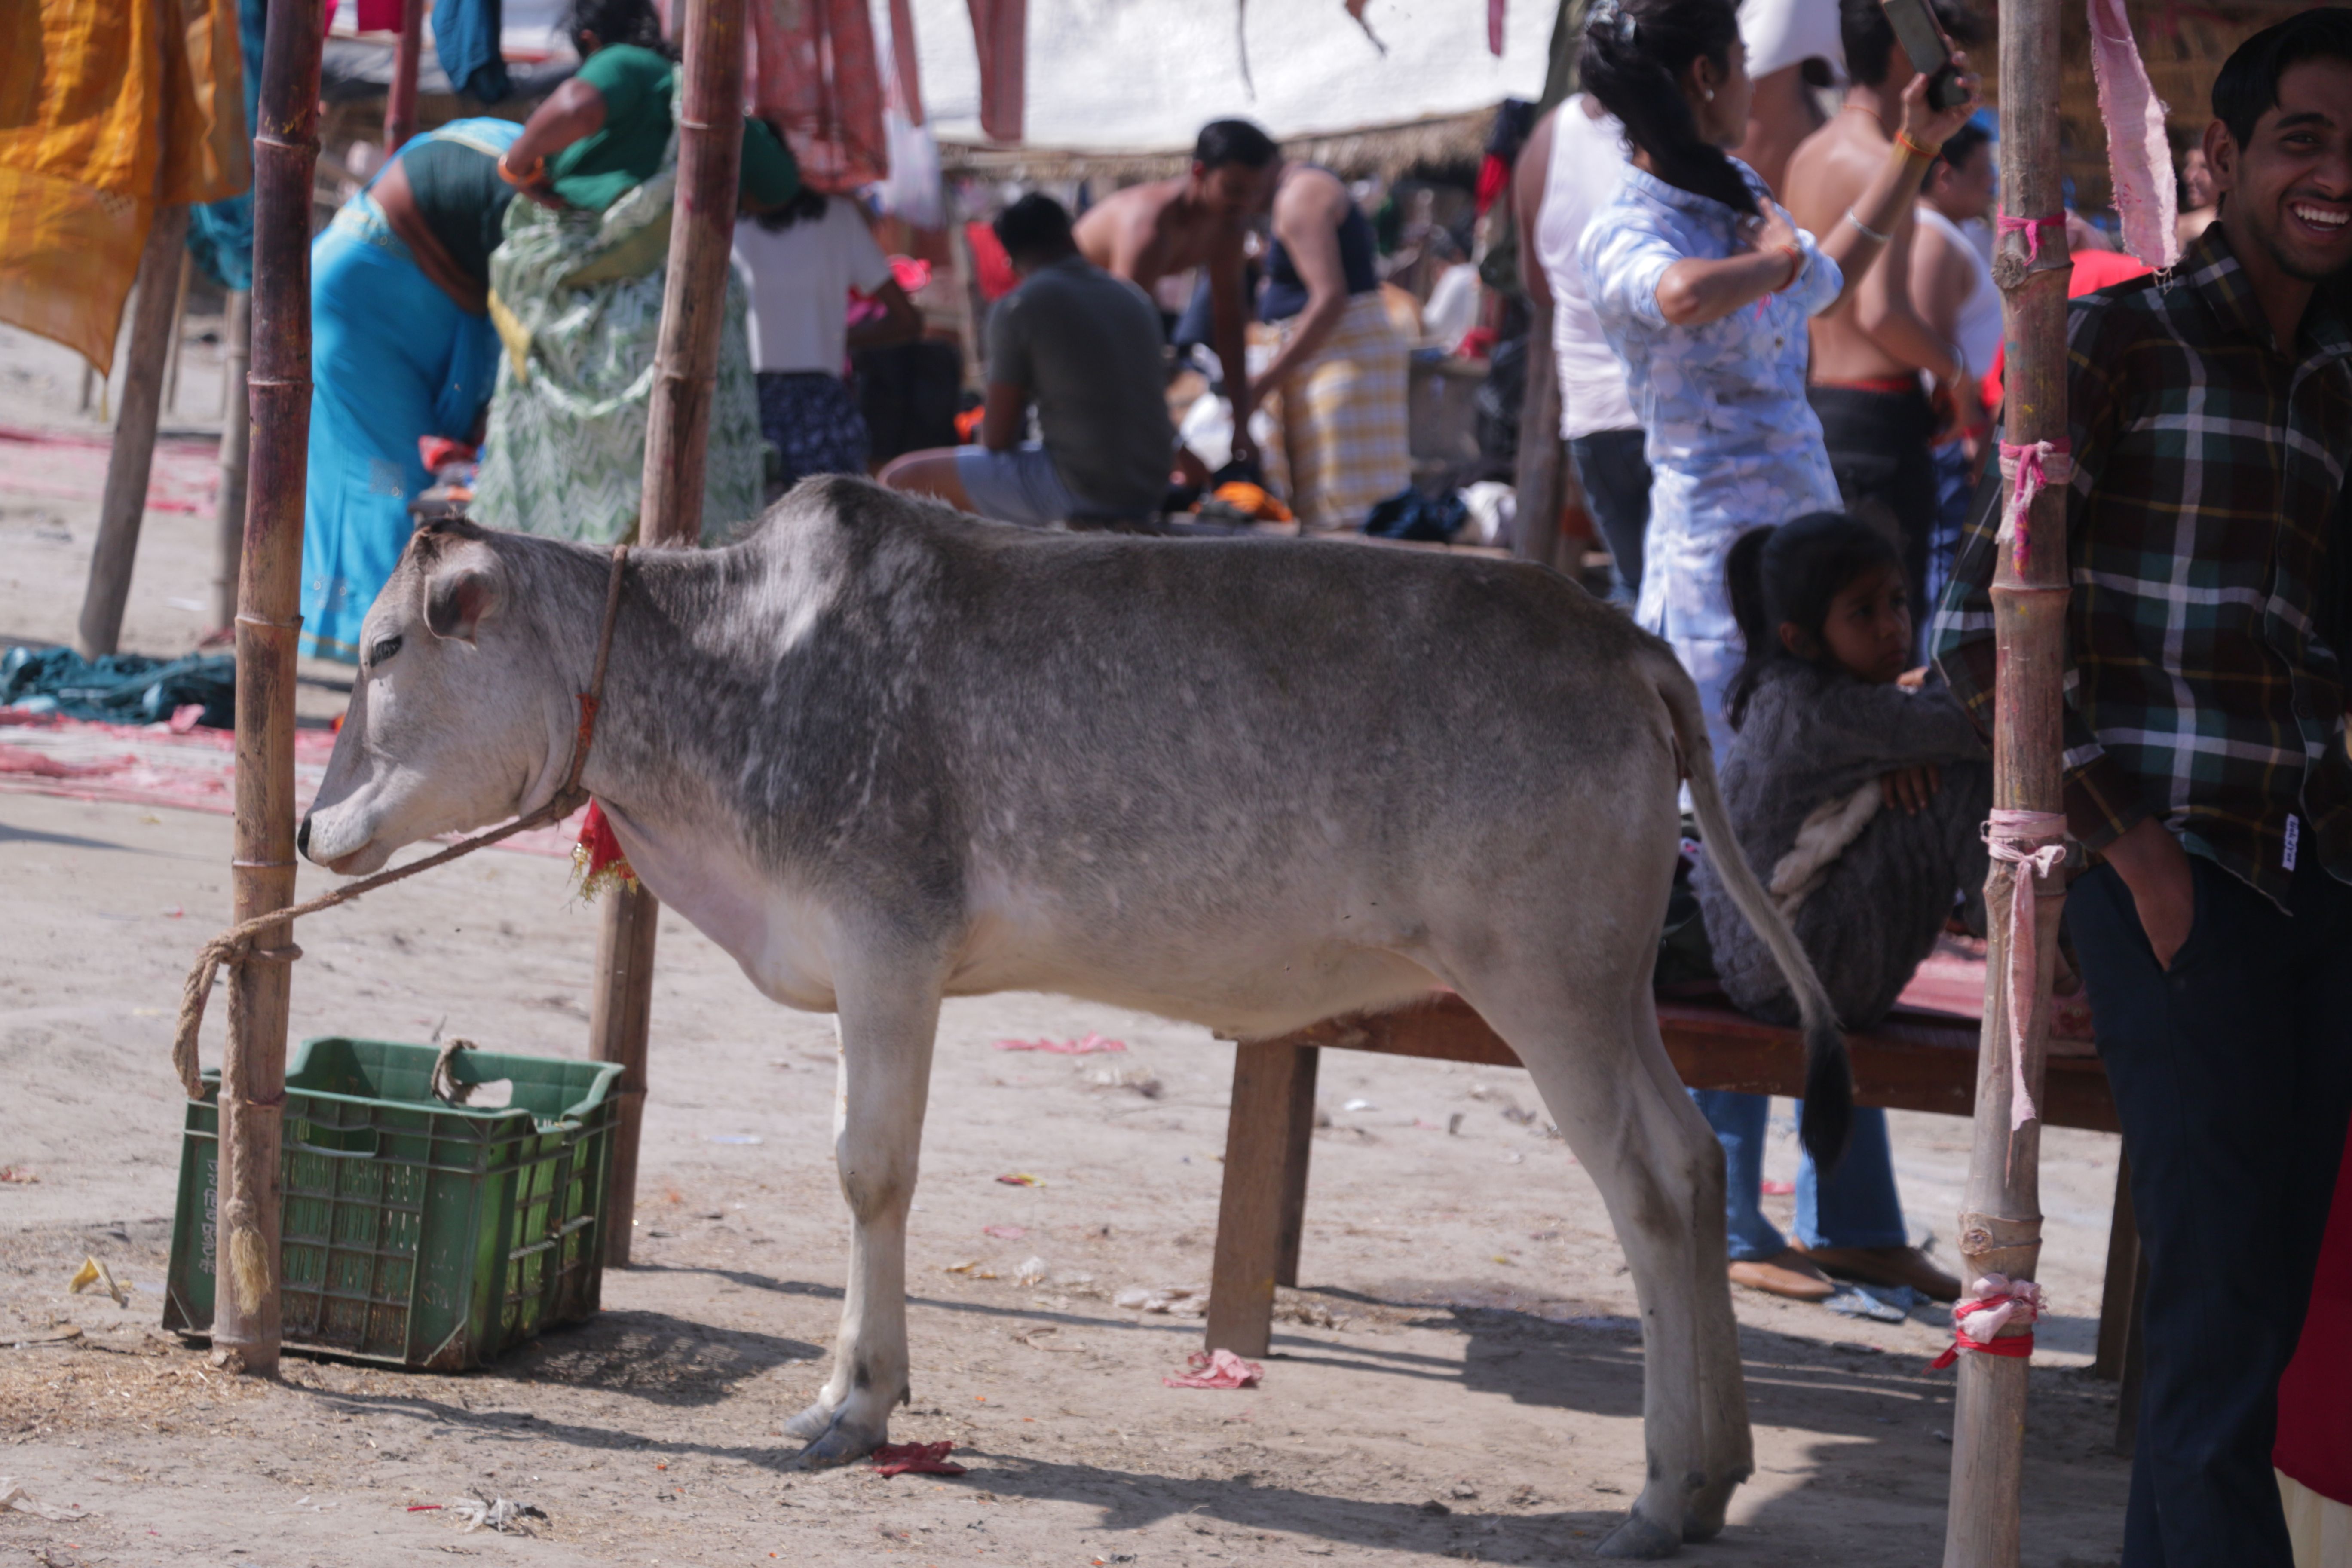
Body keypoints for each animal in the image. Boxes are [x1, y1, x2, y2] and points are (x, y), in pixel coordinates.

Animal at [300, 477, 1849, 1559]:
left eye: (381, 649)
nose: (311, 830)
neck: (728, 674)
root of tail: (1621, 638)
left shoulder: (888, 947)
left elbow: (870, 1170)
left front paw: (855, 1404)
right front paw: (849, 1385)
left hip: (1546, 982)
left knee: (1648, 1184)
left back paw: (1662, 1490)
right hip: (1608, 987)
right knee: (1696, 1162)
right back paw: (1717, 1471)